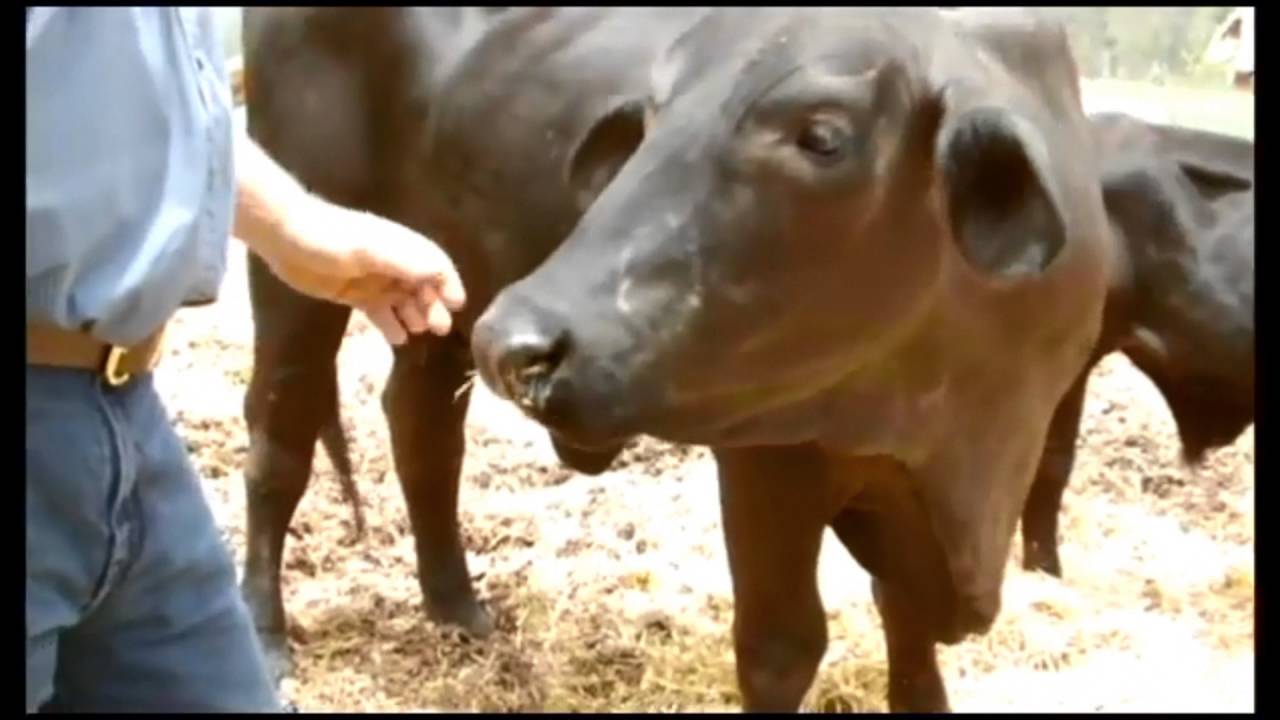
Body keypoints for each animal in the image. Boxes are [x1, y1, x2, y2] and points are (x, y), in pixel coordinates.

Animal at [237, 7, 705, 681]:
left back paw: (458, 611)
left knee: (421, 430)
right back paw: (264, 634)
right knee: (280, 434)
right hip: (298, 270)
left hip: (441, 295)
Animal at [472, 7, 1118, 712]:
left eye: (823, 136)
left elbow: (905, 615)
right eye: (649, 119)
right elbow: (784, 647)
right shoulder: (768, 458)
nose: (511, 344)